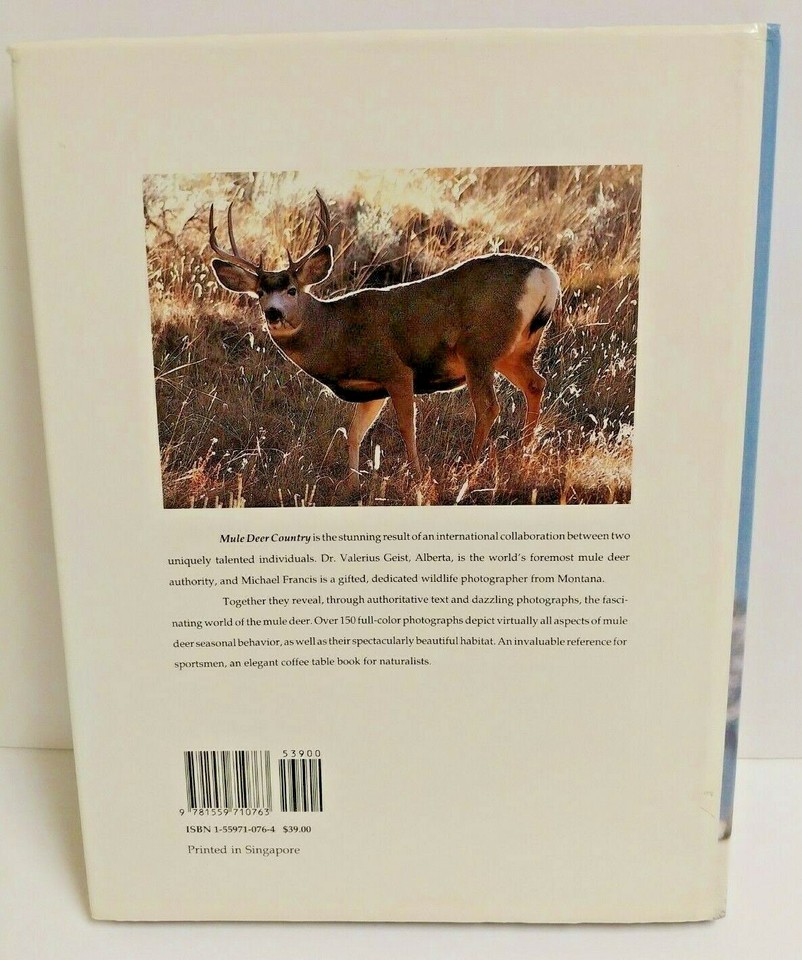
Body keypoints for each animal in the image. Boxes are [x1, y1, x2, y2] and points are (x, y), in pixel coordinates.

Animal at [208, 192, 560, 489]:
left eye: (292, 290)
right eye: (260, 293)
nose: (273, 313)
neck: (337, 334)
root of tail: (545, 275)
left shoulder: (395, 369)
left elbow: (407, 426)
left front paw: (416, 474)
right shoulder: (371, 390)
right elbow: (353, 433)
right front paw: (352, 485)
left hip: (479, 348)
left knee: (488, 406)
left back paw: (470, 465)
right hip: (514, 350)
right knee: (535, 384)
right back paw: (524, 453)